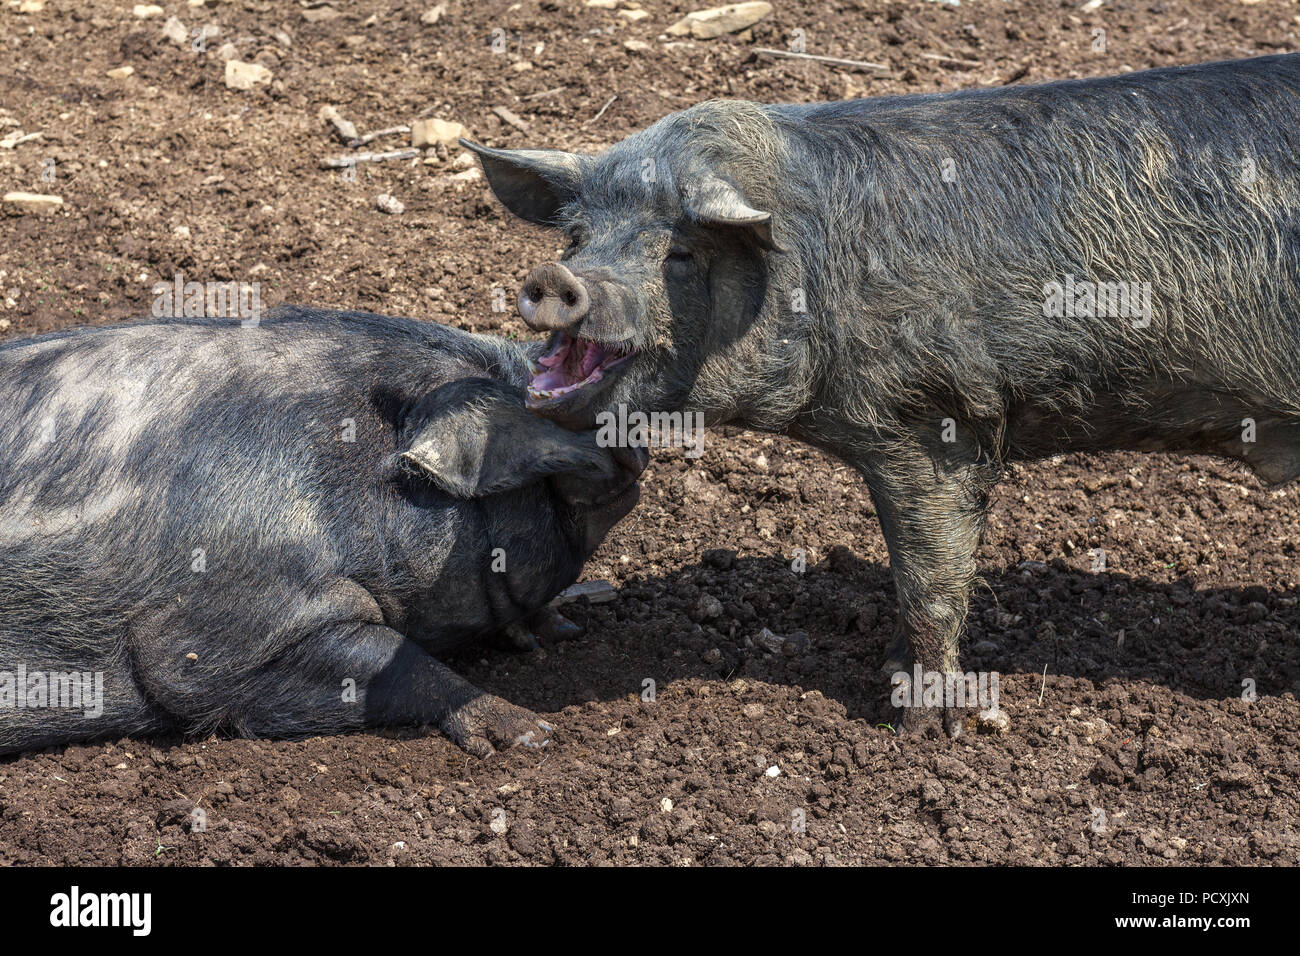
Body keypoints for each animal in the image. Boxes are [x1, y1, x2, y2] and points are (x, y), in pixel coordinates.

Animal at [0, 306, 644, 757]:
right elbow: (392, 658)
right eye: (551, 473)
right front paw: (531, 734)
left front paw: (558, 630)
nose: (628, 447)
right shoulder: (213, 630)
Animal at [462, 53, 1300, 734]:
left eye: (680, 251)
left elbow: (931, 577)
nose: (557, 279)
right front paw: (893, 672)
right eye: (576, 236)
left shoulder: (938, 416)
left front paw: (926, 727)